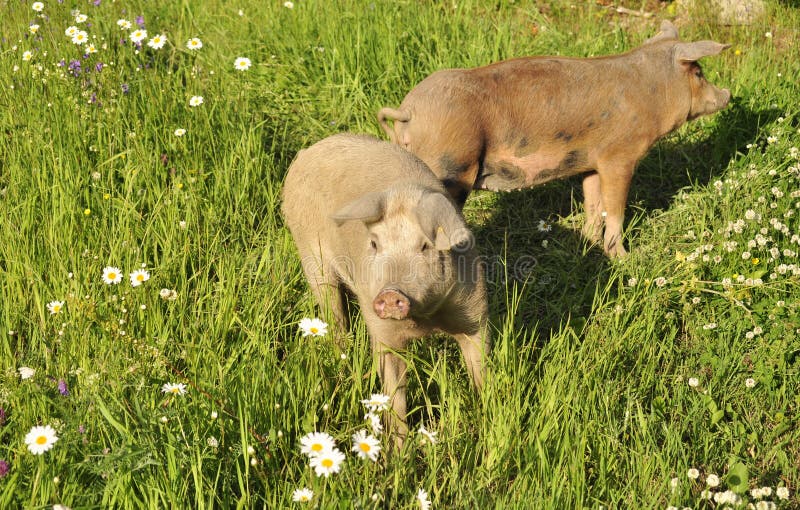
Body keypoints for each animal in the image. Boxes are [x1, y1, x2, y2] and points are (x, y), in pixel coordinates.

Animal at [282, 133, 490, 443]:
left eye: (425, 246)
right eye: (375, 244)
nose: (392, 293)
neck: (425, 320)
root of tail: (308, 151)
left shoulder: (475, 311)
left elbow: (481, 370)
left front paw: (488, 415)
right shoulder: (380, 327)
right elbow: (393, 395)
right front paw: (398, 450)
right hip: (310, 252)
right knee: (332, 312)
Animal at [378, 20, 731, 256]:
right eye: (698, 72)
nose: (727, 94)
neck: (651, 93)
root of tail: (408, 110)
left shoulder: (590, 161)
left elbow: (593, 203)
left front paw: (588, 243)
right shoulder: (619, 157)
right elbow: (615, 209)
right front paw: (624, 258)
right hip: (450, 165)